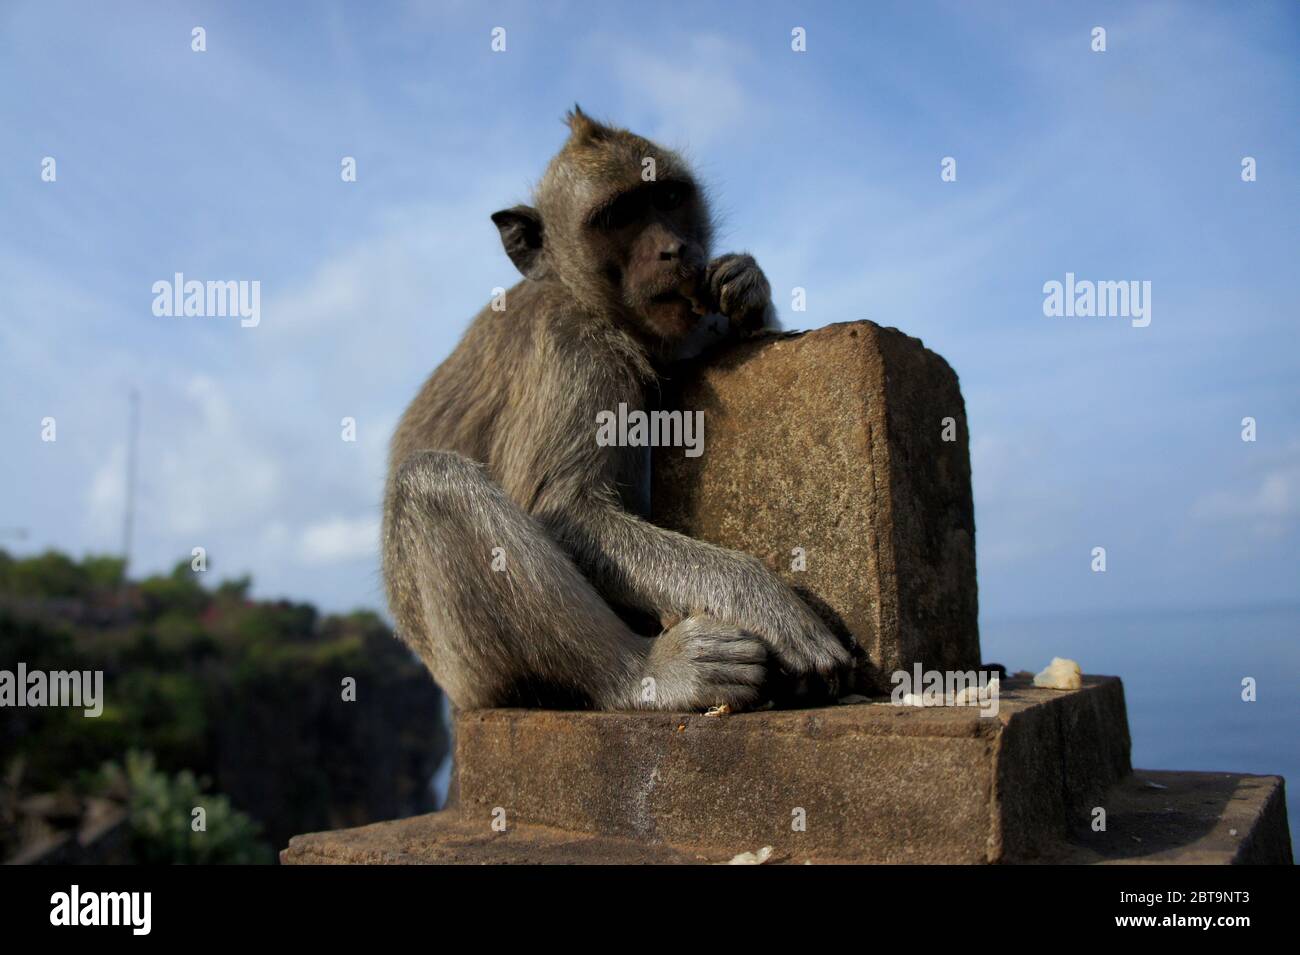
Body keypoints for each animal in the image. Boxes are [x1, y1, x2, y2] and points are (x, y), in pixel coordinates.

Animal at [382, 106, 850, 712]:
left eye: (669, 198)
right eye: (620, 215)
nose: (674, 250)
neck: (585, 297)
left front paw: (747, 287)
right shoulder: (571, 349)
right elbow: (563, 510)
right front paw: (764, 600)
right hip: (471, 670)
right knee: (431, 483)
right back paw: (647, 673)